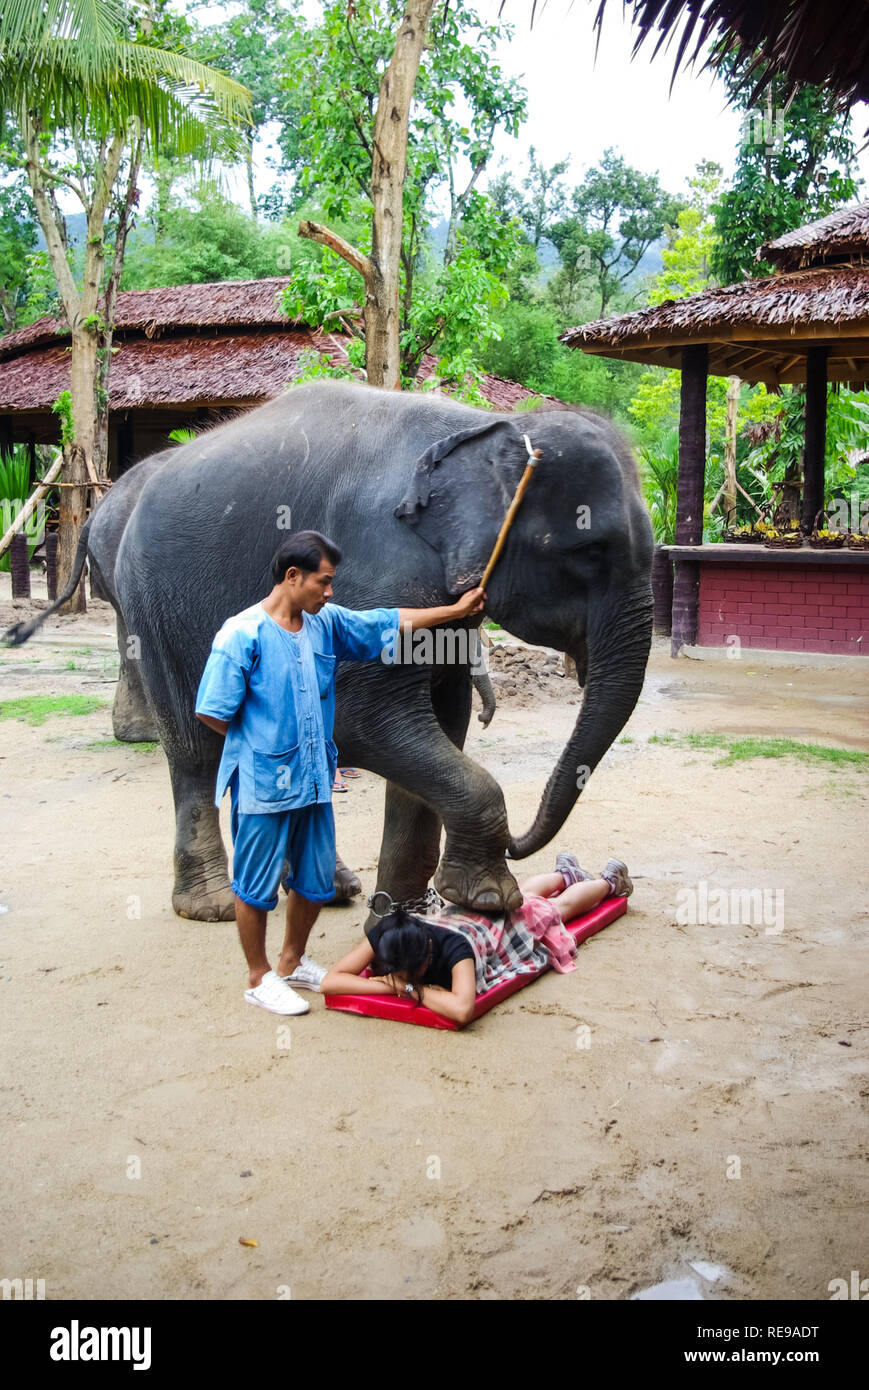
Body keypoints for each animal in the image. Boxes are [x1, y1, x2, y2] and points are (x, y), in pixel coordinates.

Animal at [5, 380, 653, 922]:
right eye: (591, 551)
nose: (526, 844)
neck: (488, 426)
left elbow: (446, 721)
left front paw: (411, 912)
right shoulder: (381, 567)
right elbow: (366, 722)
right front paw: (492, 900)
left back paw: (321, 889)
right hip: (153, 606)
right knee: (193, 751)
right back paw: (215, 905)